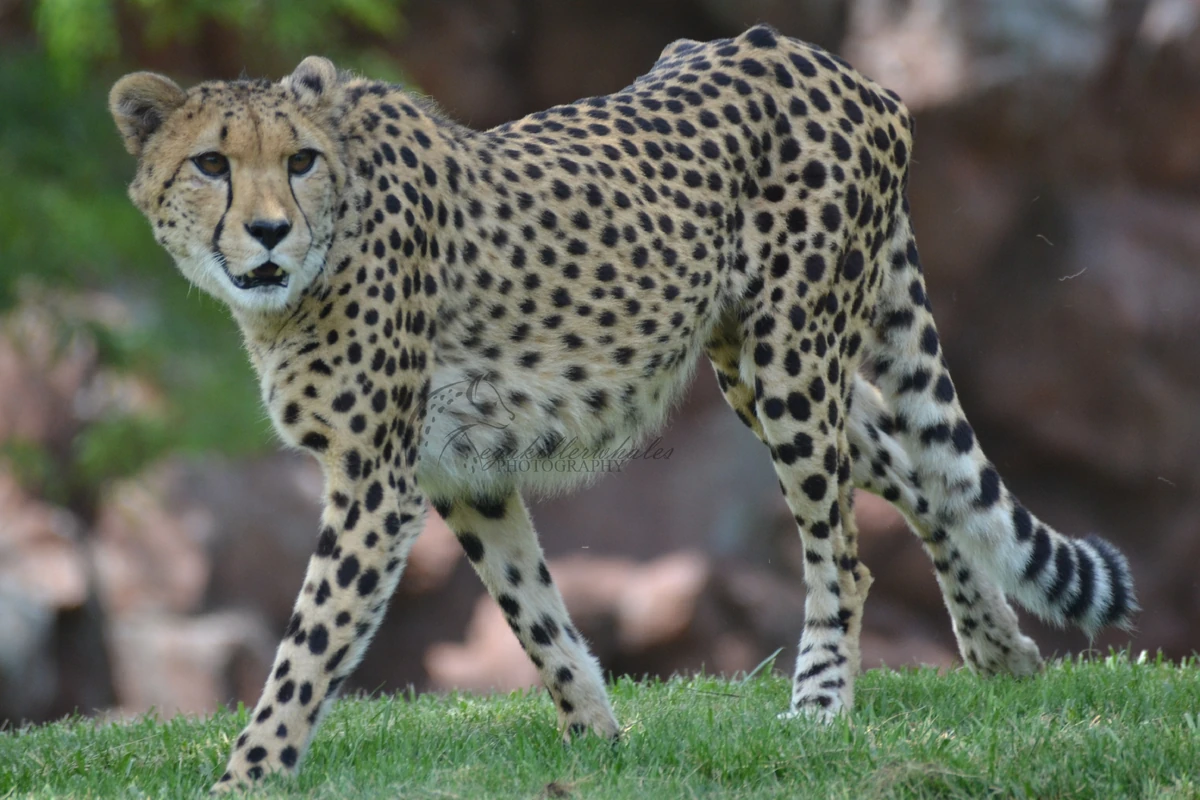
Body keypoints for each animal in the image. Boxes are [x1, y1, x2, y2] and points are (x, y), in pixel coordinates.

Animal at [109, 24, 1136, 792]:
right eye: (211, 164)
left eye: (300, 160)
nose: (268, 231)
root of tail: (833, 65)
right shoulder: (462, 473)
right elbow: (534, 610)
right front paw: (599, 739)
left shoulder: (376, 481)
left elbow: (312, 644)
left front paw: (246, 775)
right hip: (752, 369)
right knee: (917, 473)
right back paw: (999, 650)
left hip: (792, 357)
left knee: (842, 549)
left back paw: (821, 704)